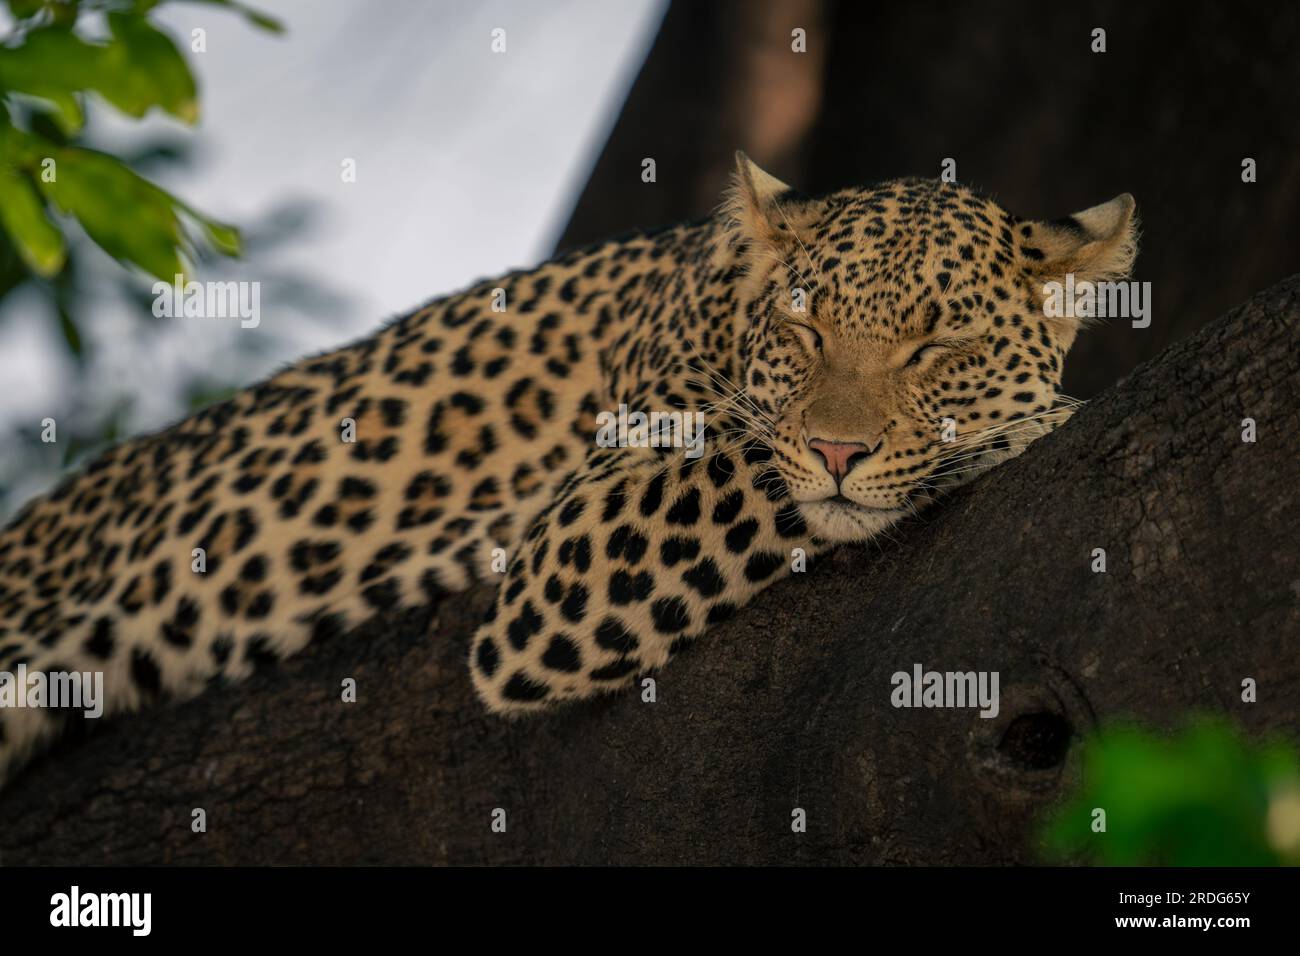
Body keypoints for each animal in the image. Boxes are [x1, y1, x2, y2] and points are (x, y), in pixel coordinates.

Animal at [0, 153, 1137, 788]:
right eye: (807, 329)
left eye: (938, 345)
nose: (837, 452)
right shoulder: (575, 540)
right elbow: (751, 462)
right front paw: (1043, 416)